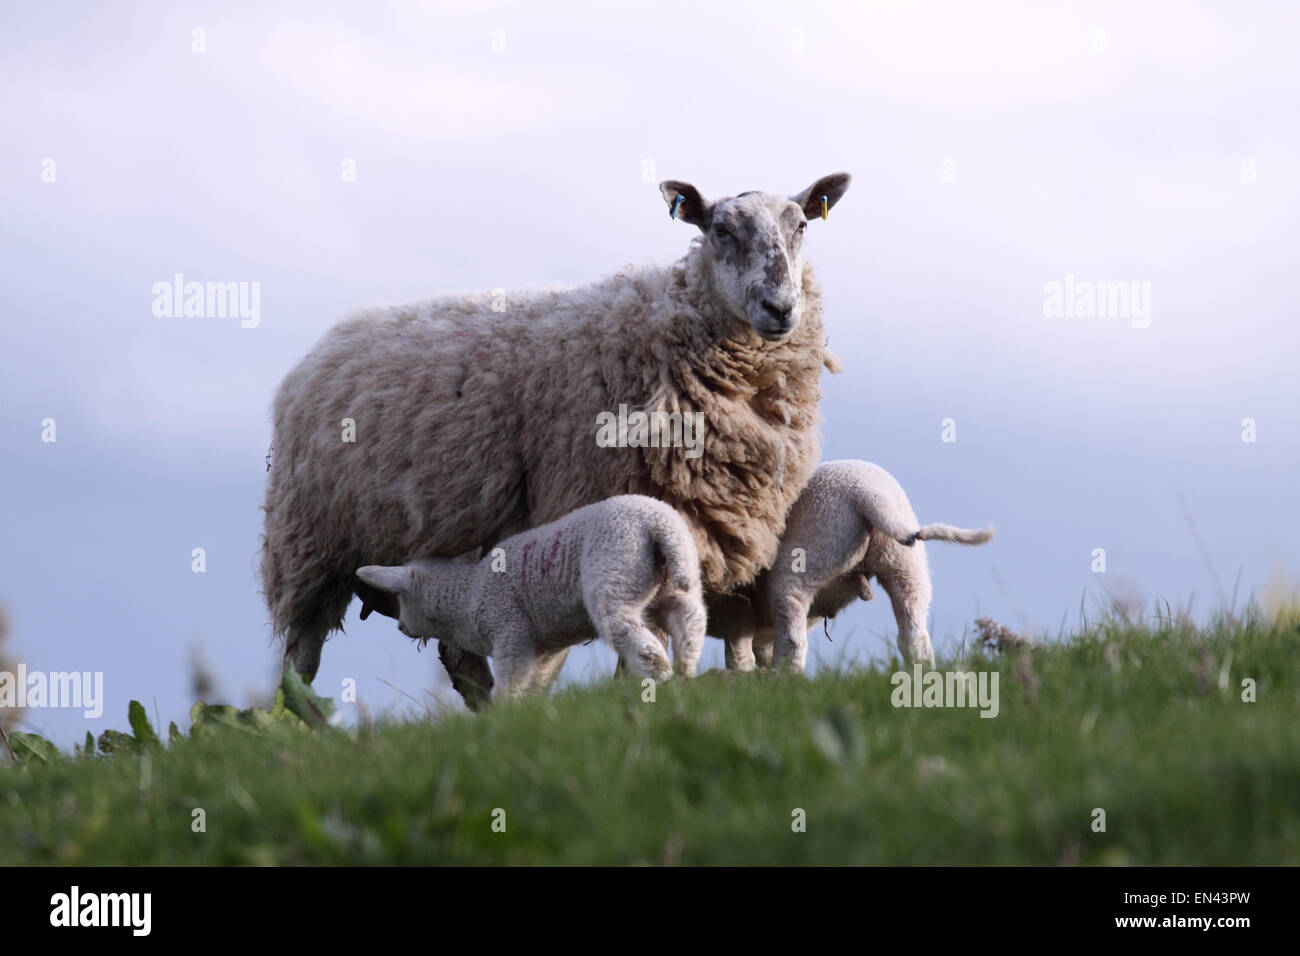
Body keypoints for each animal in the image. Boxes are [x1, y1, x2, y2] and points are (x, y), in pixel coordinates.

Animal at [354, 495, 706, 697]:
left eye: (401, 599)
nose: (401, 628)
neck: (466, 595)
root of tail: (658, 523)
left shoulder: (510, 631)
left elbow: (512, 678)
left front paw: (506, 713)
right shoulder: (541, 647)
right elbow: (536, 680)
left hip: (615, 569)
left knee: (629, 630)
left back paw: (657, 676)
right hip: (669, 574)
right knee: (689, 615)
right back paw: (686, 668)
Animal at [706, 460, 994, 671]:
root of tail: (867, 493)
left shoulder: (735, 606)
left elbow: (738, 653)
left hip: (804, 560)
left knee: (793, 638)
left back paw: (781, 680)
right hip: (906, 567)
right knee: (914, 637)